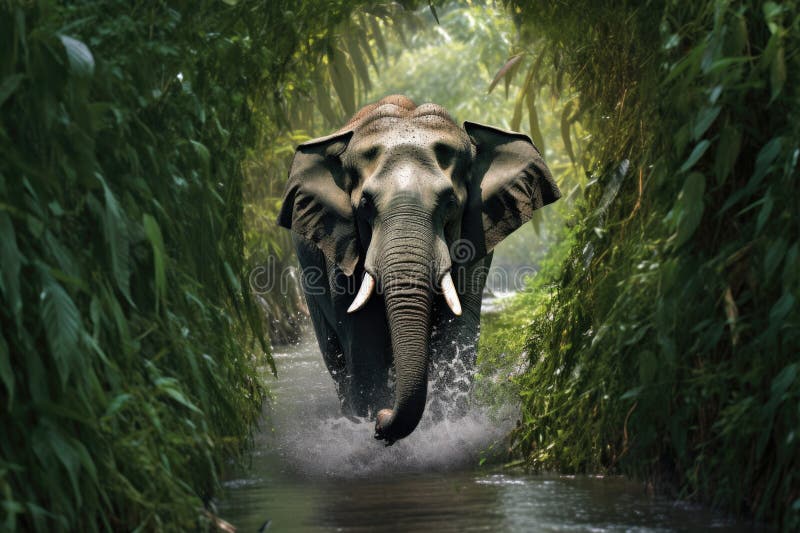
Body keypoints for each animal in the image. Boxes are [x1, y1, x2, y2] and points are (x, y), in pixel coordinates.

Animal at [277, 95, 559, 444]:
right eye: (365, 204)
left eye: (450, 202)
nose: (381, 424)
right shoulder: (341, 249)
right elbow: (362, 336)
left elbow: (457, 327)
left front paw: (441, 429)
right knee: (335, 356)